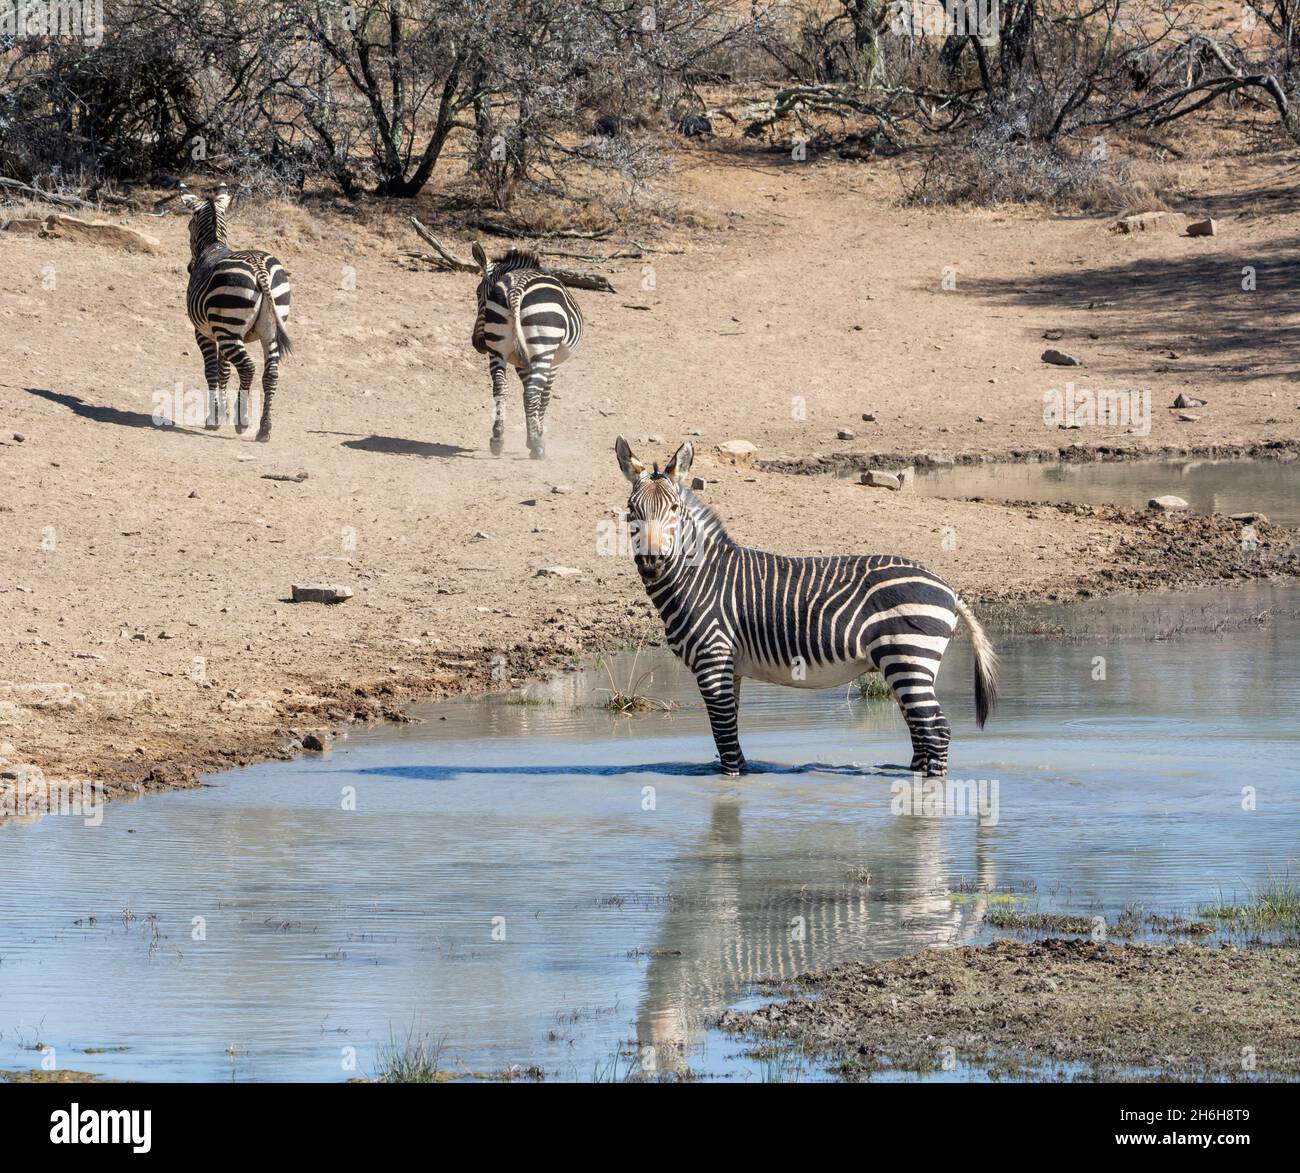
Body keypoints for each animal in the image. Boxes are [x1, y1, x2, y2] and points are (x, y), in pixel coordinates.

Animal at [178, 183, 292, 441]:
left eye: (189, 226)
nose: (190, 267)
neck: (213, 245)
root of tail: (260, 269)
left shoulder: (204, 332)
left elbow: (212, 370)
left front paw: (215, 419)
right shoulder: (219, 332)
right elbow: (224, 371)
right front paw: (224, 412)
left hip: (229, 330)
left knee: (248, 368)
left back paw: (243, 422)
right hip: (269, 329)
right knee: (271, 373)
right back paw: (264, 429)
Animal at [470, 241, 583, 459]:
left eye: (478, 293)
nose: (477, 343)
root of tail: (516, 288)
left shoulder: (521, 363)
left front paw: (531, 433)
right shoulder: (553, 363)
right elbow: (543, 396)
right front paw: (536, 434)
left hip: (497, 350)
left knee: (500, 388)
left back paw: (497, 439)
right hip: (544, 348)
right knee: (532, 393)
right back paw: (538, 447)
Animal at [615, 437, 998, 778]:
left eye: (674, 510)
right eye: (632, 510)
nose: (651, 562)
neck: (699, 578)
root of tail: (947, 586)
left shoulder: (713, 660)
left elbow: (724, 739)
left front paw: (731, 785)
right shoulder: (730, 667)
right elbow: (731, 737)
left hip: (909, 658)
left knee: (937, 731)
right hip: (905, 666)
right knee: (921, 733)